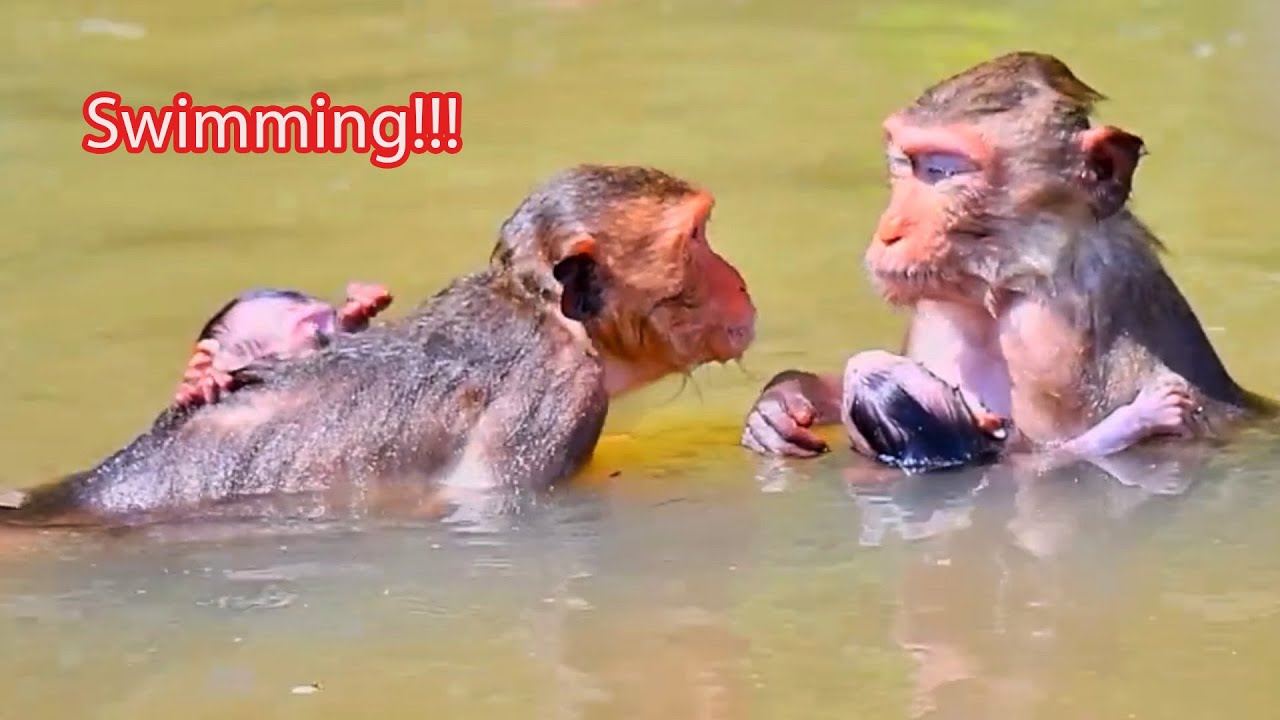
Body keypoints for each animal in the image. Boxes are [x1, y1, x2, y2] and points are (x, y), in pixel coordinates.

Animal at [742, 51, 1274, 459]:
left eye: (943, 170)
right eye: (906, 162)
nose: (890, 230)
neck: (1017, 276)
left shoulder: (1047, 340)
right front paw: (785, 400)